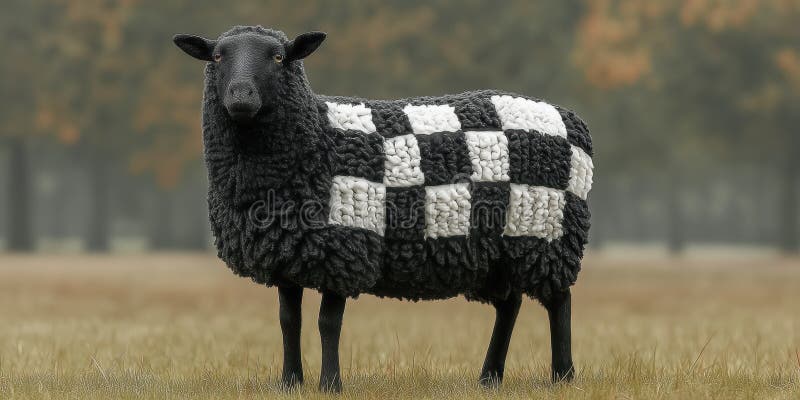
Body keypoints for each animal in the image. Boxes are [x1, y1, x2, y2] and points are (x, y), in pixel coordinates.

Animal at [174, 25, 593, 393]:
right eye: (217, 56)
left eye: (278, 57)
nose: (241, 97)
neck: (315, 137)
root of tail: (569, 118)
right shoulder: (288, 254)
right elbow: (288, 321)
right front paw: (289, 383)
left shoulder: (345, 246)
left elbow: (328, 323)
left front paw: (330, 385)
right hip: (502, 248)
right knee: (509, 305)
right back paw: (489, 377)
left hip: (546, 233)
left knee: (560, 302)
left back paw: (563, 376)